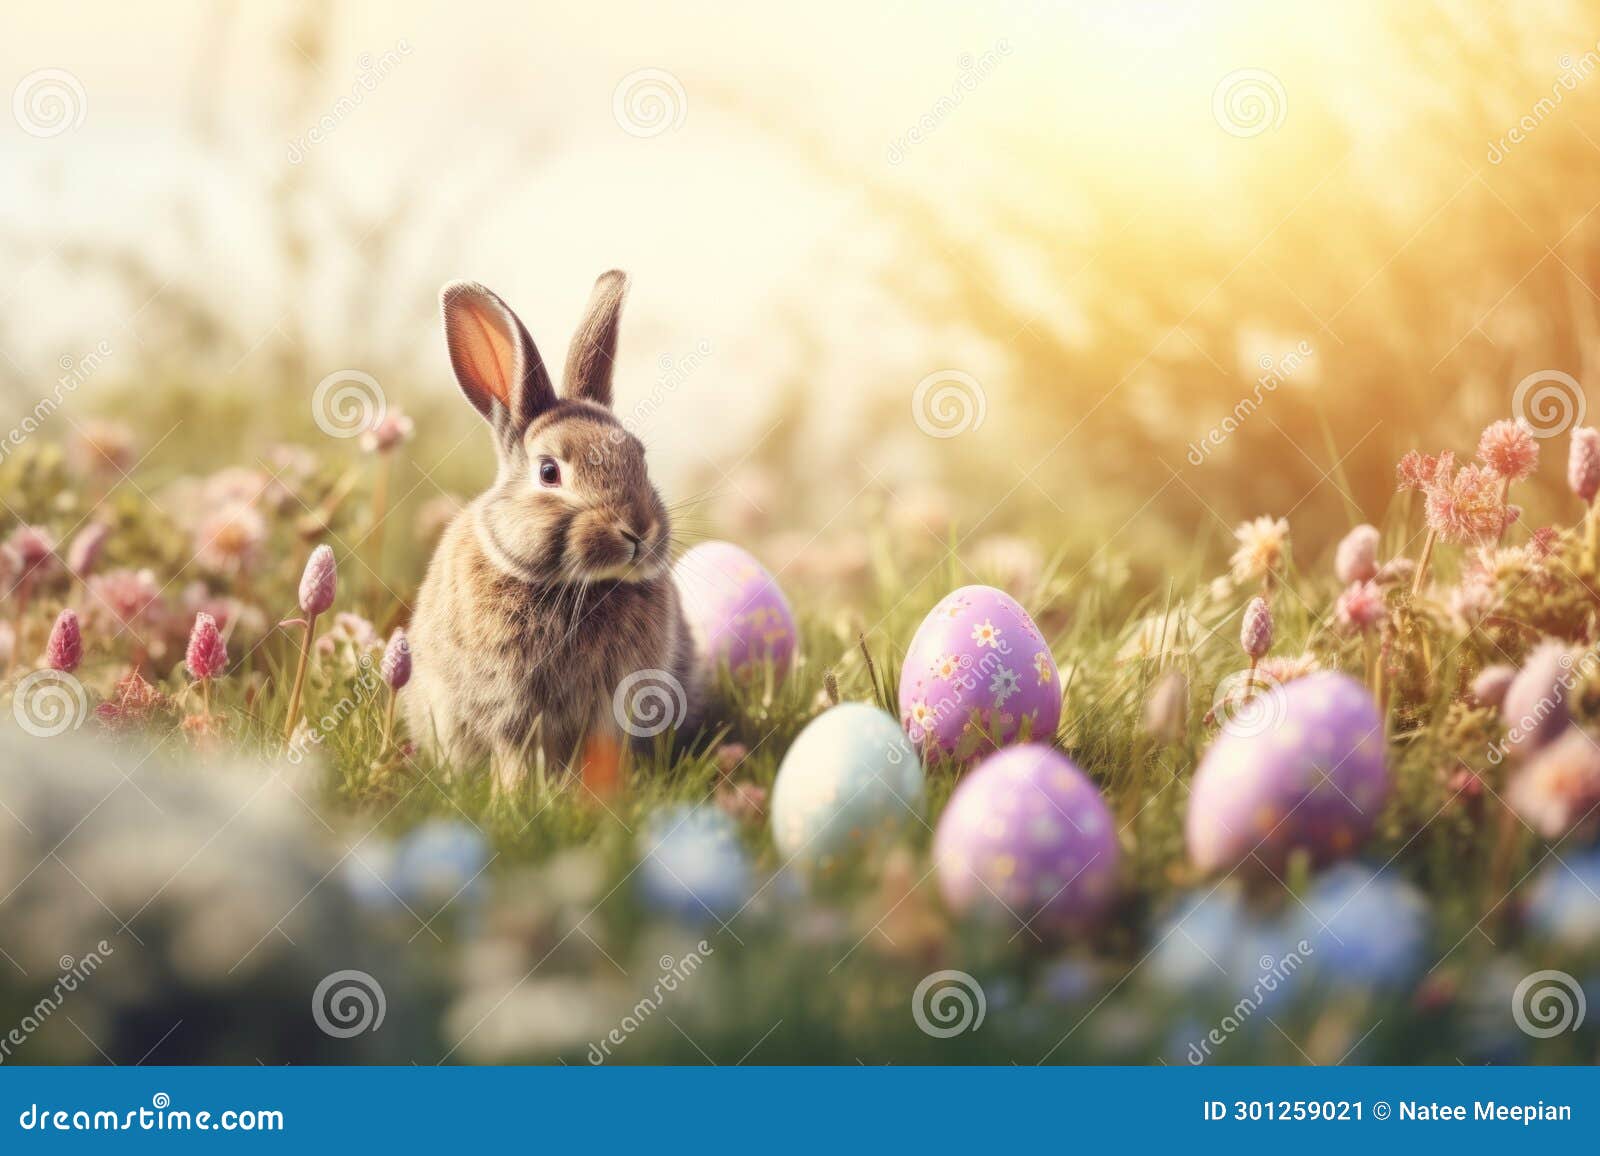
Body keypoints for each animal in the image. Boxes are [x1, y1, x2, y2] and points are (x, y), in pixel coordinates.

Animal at [404, 271, 701, 792]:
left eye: (640, 457)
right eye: (548, 472)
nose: (638, 530)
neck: (575, 587)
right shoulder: (509, 710)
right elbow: (514, 756)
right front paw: (514, 796)